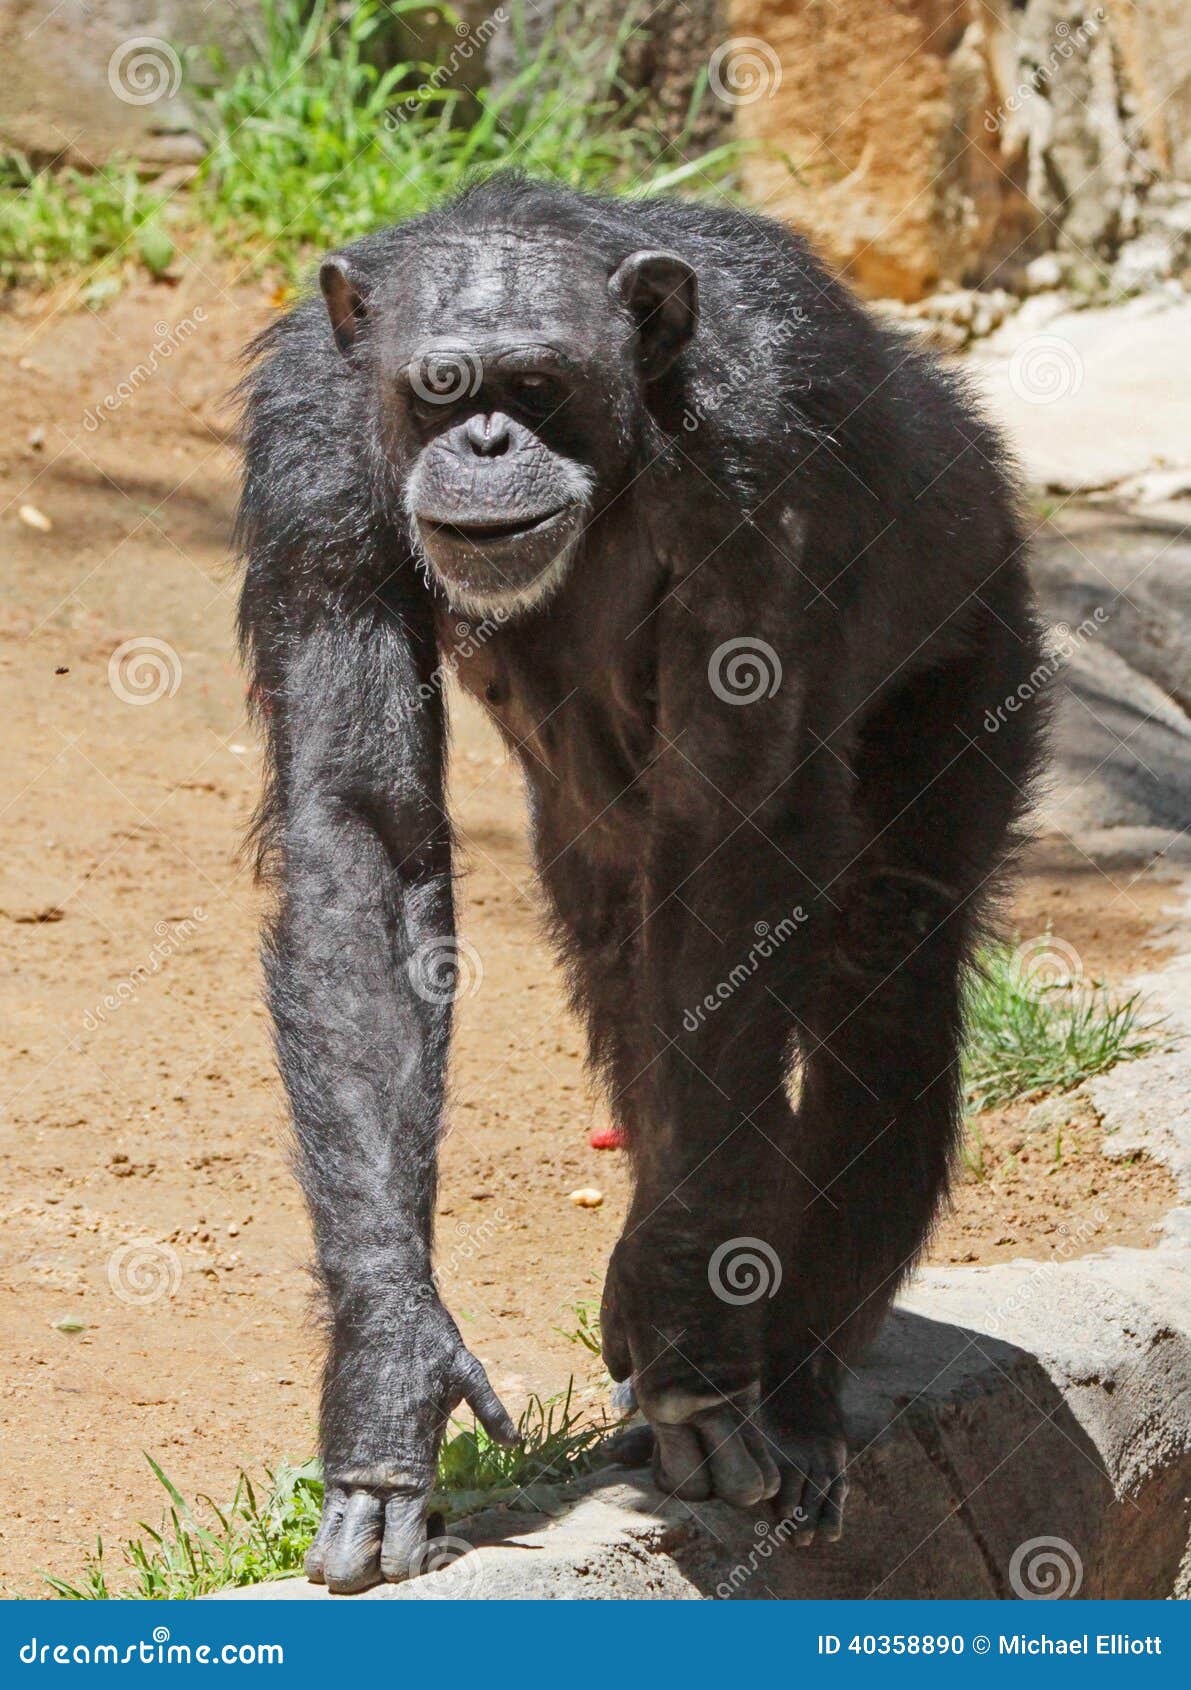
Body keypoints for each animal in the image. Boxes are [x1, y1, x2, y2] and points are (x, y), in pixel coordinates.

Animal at [235, 174, 1045, 1593]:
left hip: (987, 637)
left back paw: (790, 1387)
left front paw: (684, 1321)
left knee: (884, 980)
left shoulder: (775, 453)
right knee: (628, 970)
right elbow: (363, 837)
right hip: (584, 842)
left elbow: (734, 836)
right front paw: (390, 1377)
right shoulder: (307, 465)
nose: (488, 440)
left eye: (538, 384)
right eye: (440, 389)